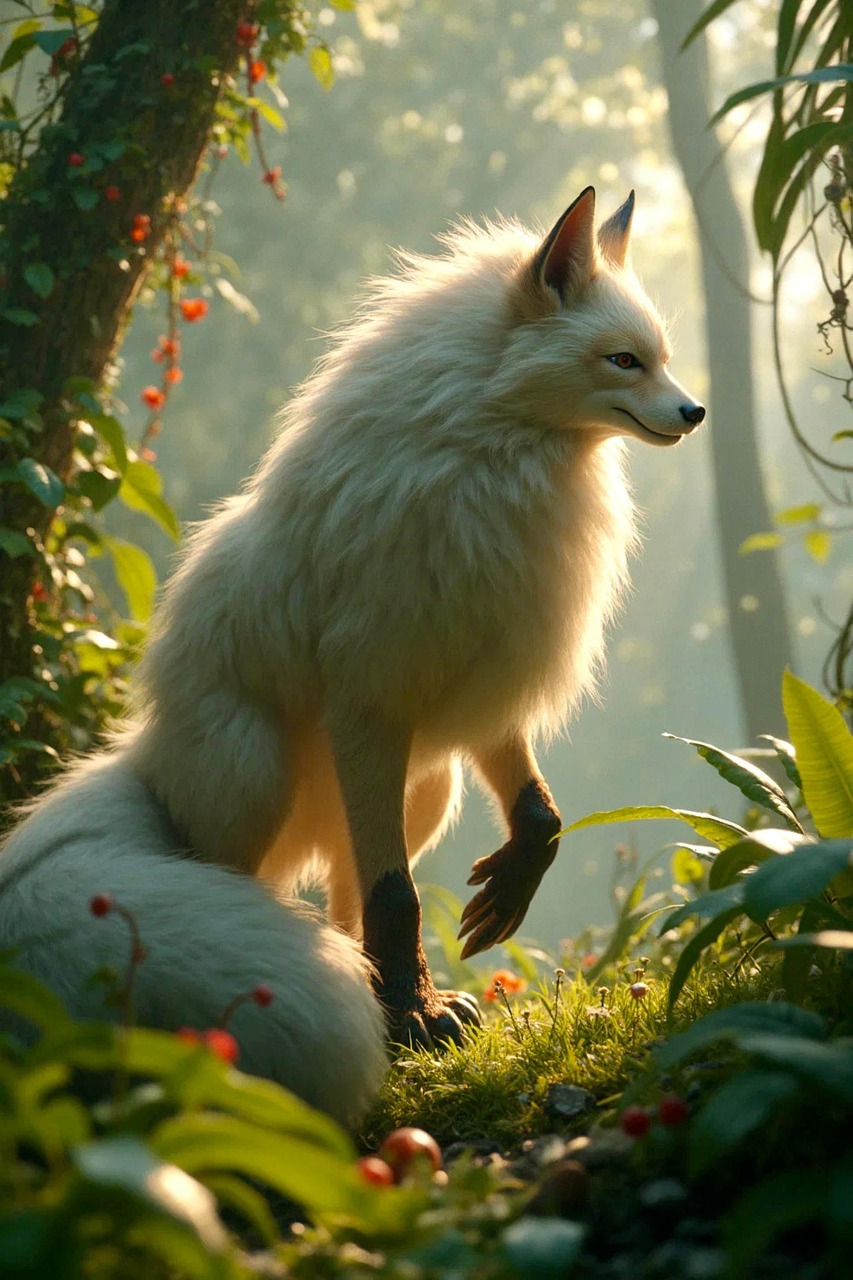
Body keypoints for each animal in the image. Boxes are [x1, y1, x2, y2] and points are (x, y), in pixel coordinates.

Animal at [0, 187, 704, 1125]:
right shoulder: (370, 699)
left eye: (658, 360)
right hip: (258, 780)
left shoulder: (480, 681)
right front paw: (412, 1025)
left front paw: (499, 900)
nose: (693, 412)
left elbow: (539, 819)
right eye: (623, 361)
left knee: (341, 903)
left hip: (422, 793)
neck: (496, 462)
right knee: (285, 889)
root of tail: (141, 754)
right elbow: (398, 900)